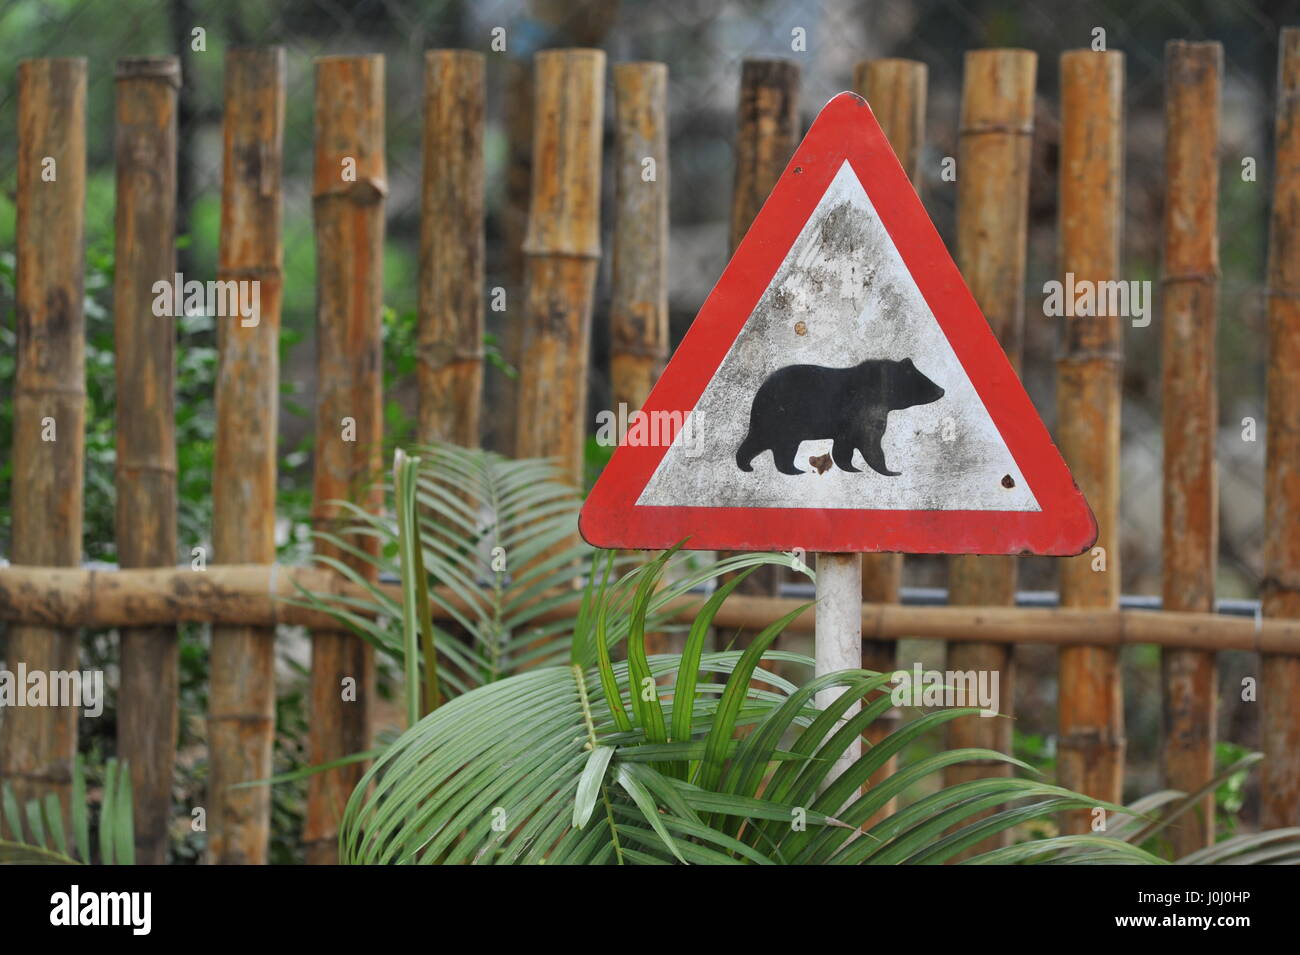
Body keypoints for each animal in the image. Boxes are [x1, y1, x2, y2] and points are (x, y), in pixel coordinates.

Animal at [735, 357, 944, 476]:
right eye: (925, 381)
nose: (941, 390)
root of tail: (760, 394)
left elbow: (846, 447)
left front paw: (853, 467)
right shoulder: (863, 411)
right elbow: (869, 444)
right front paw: (890, 470)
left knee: (777, 450)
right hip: (780, 420)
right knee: (763, 443)